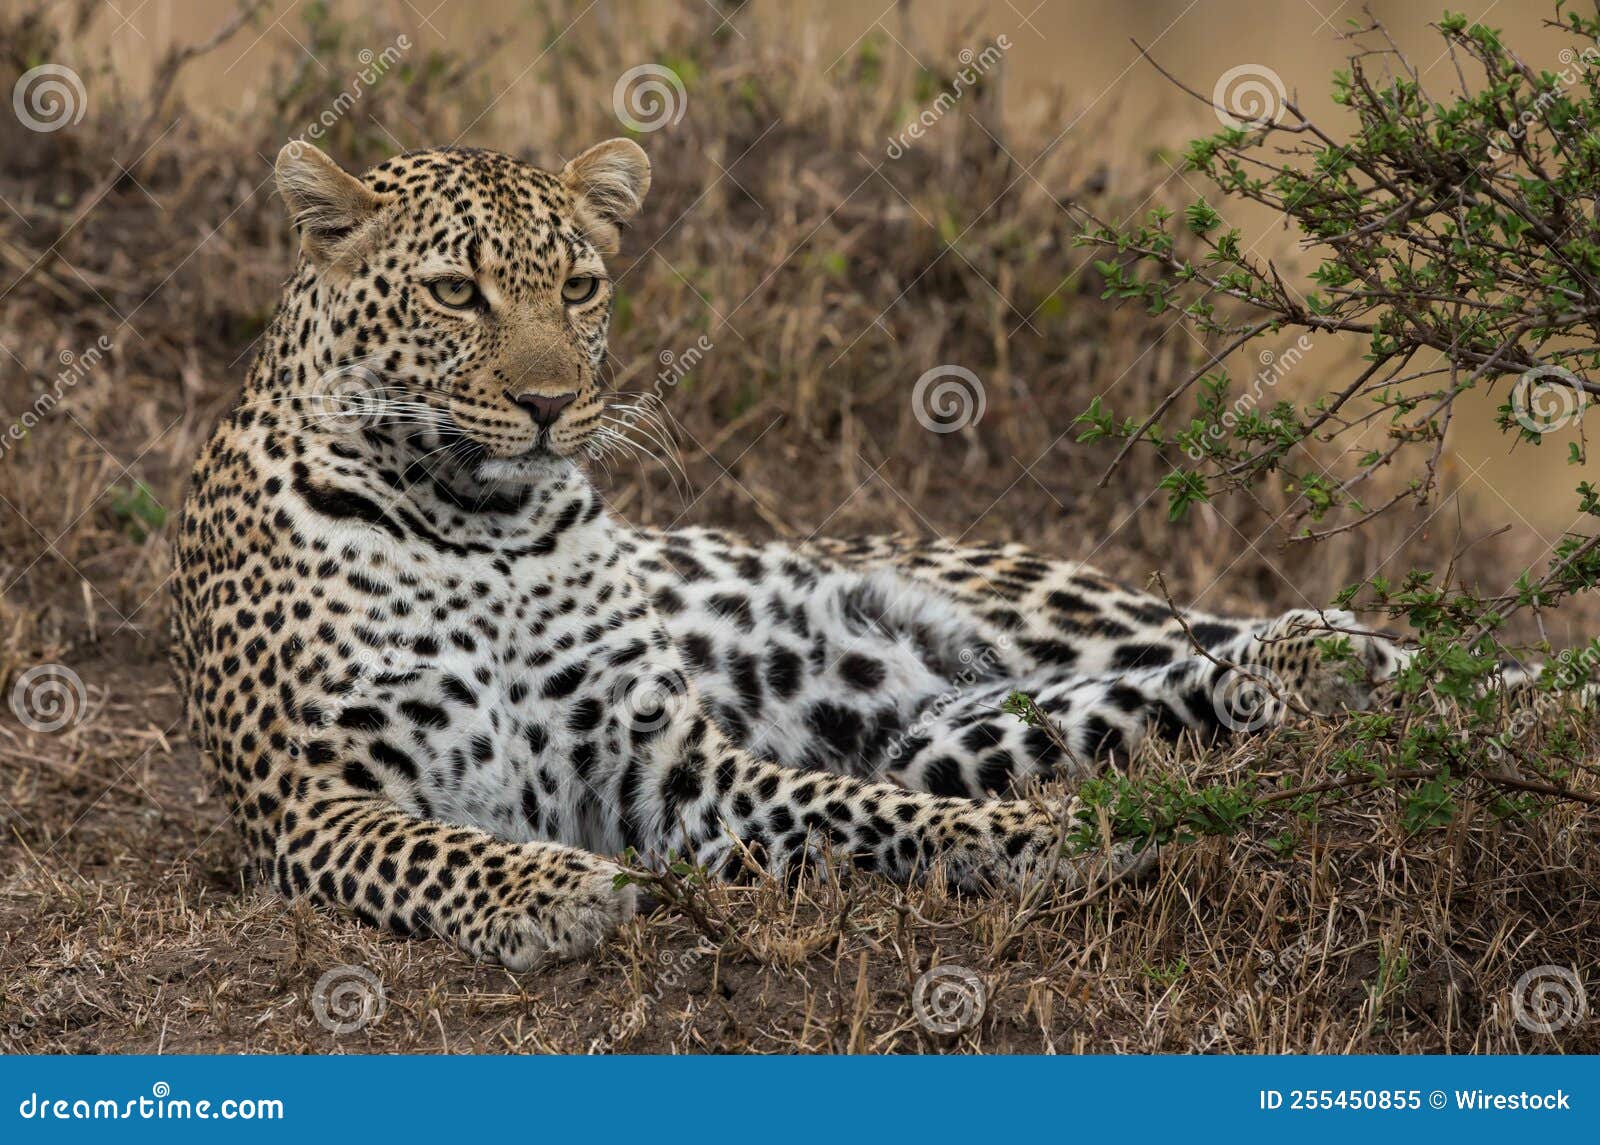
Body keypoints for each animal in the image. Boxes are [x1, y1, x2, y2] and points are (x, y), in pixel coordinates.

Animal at [170, 137, 1408, 970]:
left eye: (578, 285)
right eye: (453, 291)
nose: (550, 403)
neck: (485, 525)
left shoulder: (670, 767)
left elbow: (866, 810)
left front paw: (1050, 833)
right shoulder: (311, 802)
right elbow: (446, 849)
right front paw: (554, 887)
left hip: (1047, 613)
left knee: (1220, 646)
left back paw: (1362, 660)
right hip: (958, 725)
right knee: (1160, 690)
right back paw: (1324, 671)